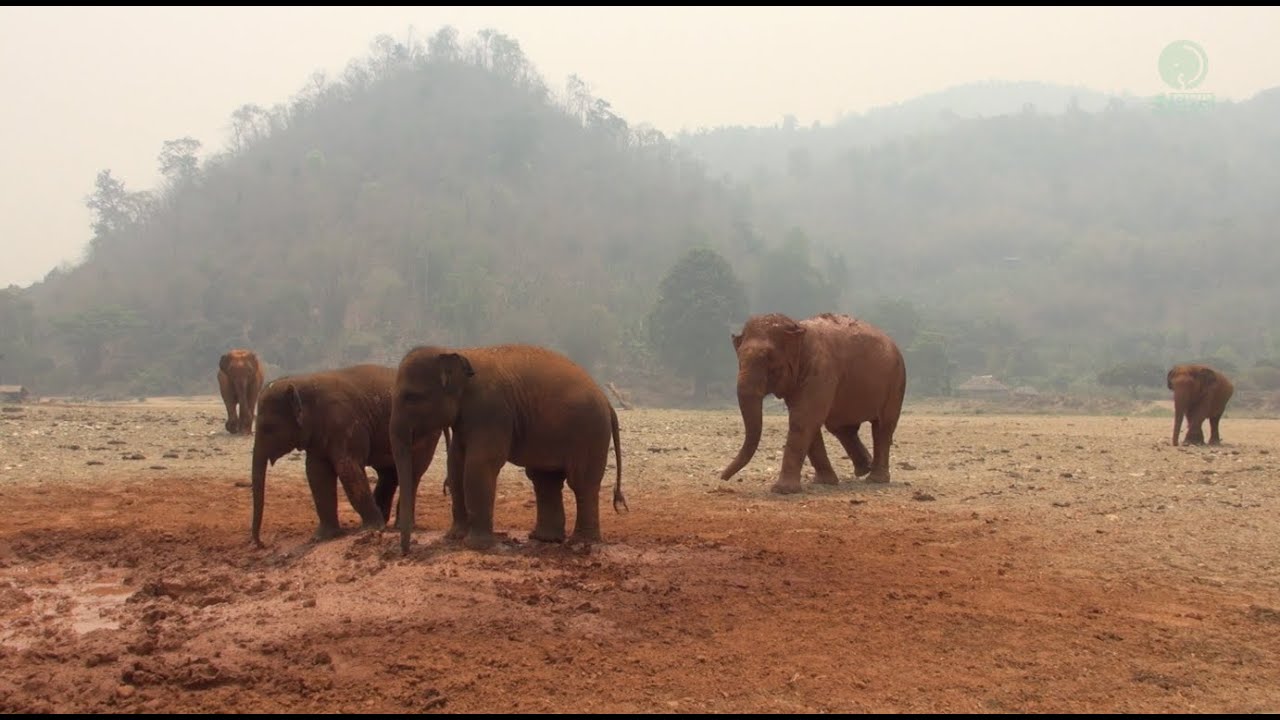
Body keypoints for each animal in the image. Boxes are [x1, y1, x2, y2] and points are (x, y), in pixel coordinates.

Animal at [249, 363, 447, 547]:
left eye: (267, 428)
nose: (262, 543)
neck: (302, 381)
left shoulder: (345, 424)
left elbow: (347, 469)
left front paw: (371, 529)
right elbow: (316, 474)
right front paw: (321, 537)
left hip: (427, 432)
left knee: (412, 473)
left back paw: (397, 525)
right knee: (388, 474)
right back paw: (385, 521)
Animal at [390, 344, 627, 555]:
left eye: (412, 396)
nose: (405, 552)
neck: (458, 352)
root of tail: (607, 402)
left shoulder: (490, 410)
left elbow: (480, 463)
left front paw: (477, 546)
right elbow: (455, 463)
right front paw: (455, 537)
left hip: (589, 433)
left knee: (581, 483)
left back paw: (581, 543)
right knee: (545, 479)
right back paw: (545, 539)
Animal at [720, 312, 907, 494]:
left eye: (768, 358)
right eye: (739, 359)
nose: (723, 477)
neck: (797, 326)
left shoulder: (822, 371)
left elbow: (803, 420)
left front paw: (782, 490)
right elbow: (810, 422)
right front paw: (825, 482)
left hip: (896, 383)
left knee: (882, 427)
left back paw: (875, 479)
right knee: (841, 428)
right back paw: (864, 469)